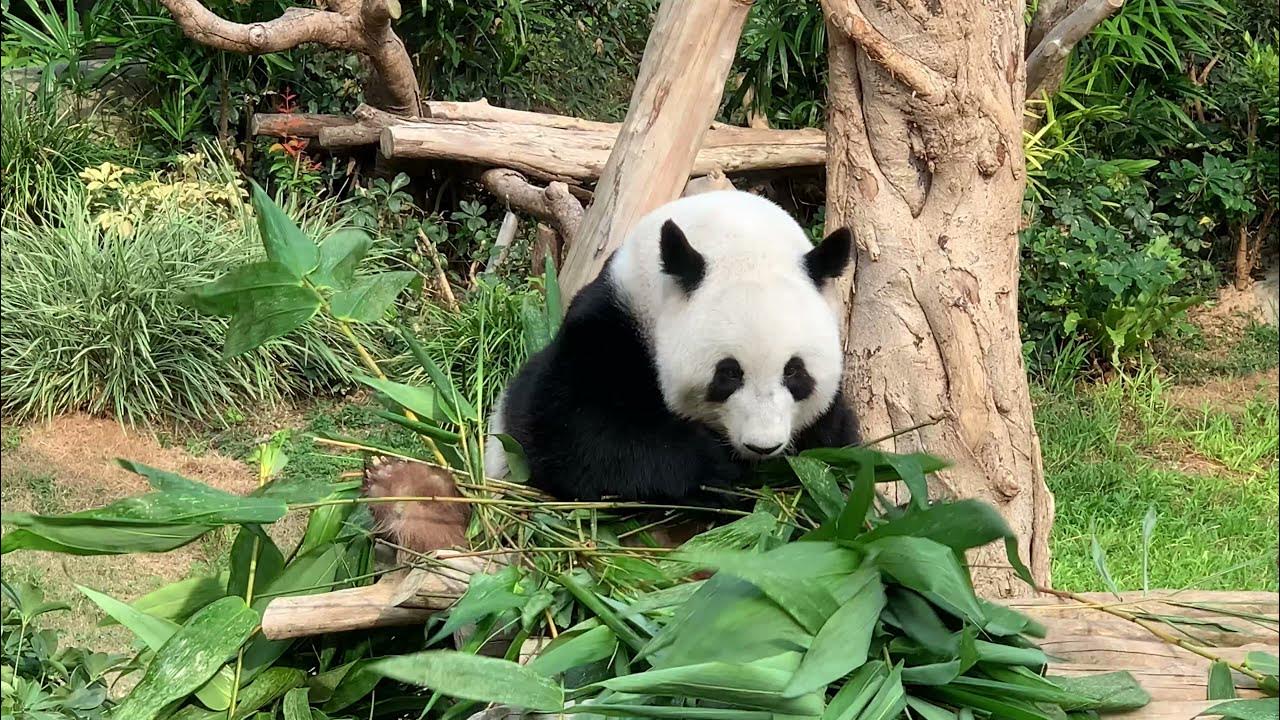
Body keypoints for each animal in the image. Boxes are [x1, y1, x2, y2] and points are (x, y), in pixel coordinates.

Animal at [483, 190, 860, 503]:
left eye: (794, 372)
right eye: (728, 374)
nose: (762, 445)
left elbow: (839, 444)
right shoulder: (605, 329)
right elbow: (566, 431)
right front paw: (716, 467)